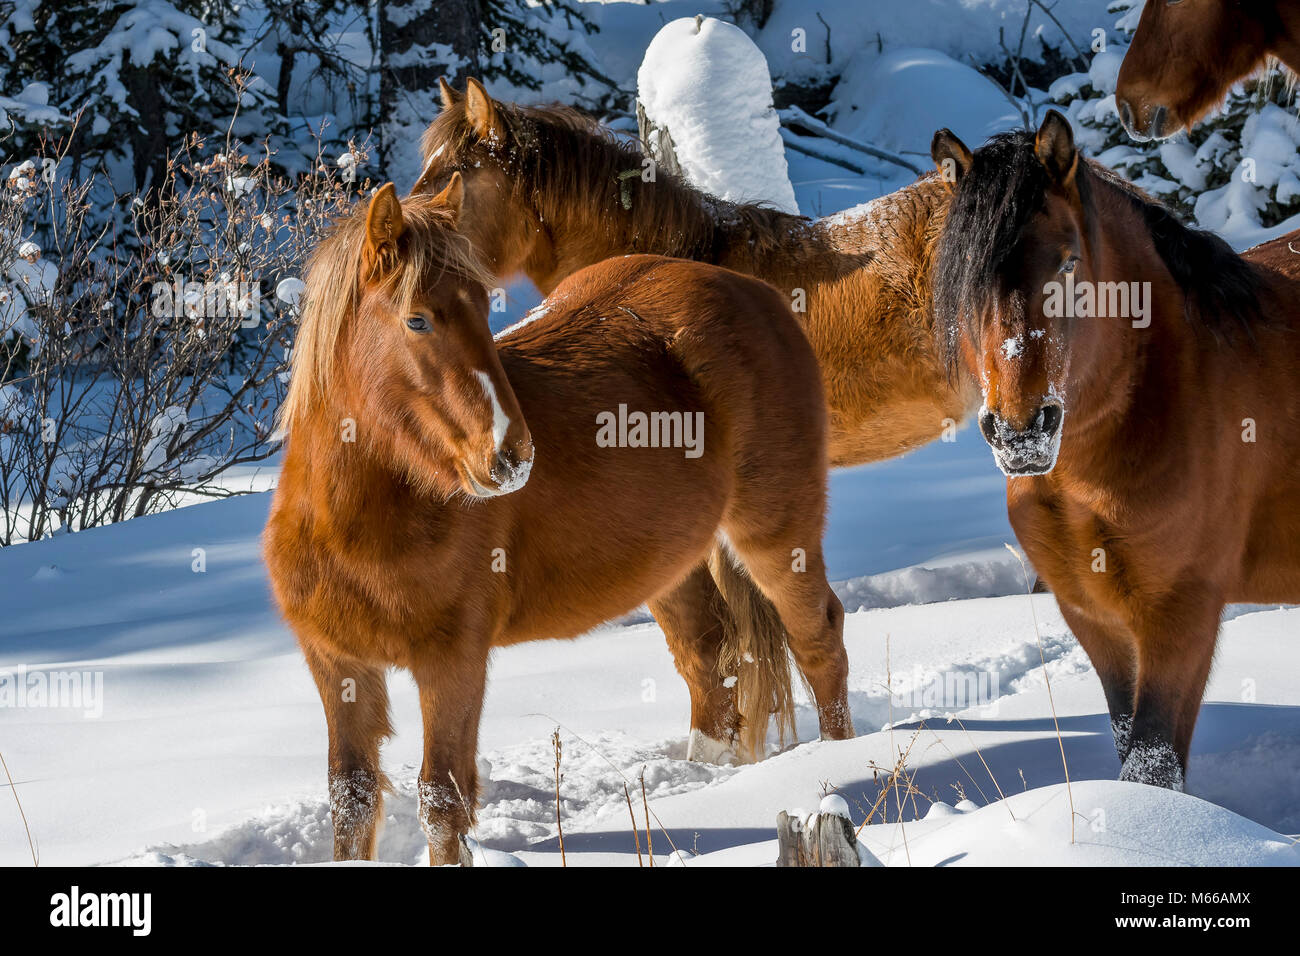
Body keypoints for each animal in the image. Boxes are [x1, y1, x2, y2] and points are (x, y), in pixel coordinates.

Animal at [263, 178, 852, 864]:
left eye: (481, 308)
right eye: (416, 318)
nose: (511, 455)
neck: (353, 526)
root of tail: (756, 293)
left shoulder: (453, 660)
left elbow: (442, 796)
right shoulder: (339, 667)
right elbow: (351, 798)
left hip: (775, 533)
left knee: (818, 641)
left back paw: (838, 765)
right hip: (671, 566)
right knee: (712, 667)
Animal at [930, 110, 1300, 790]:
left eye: (1069, 264)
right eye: (966, 279)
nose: (1022, 431)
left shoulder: (1181, 613)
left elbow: (1153, 761)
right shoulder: (1094, 616)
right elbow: (1133, 740)